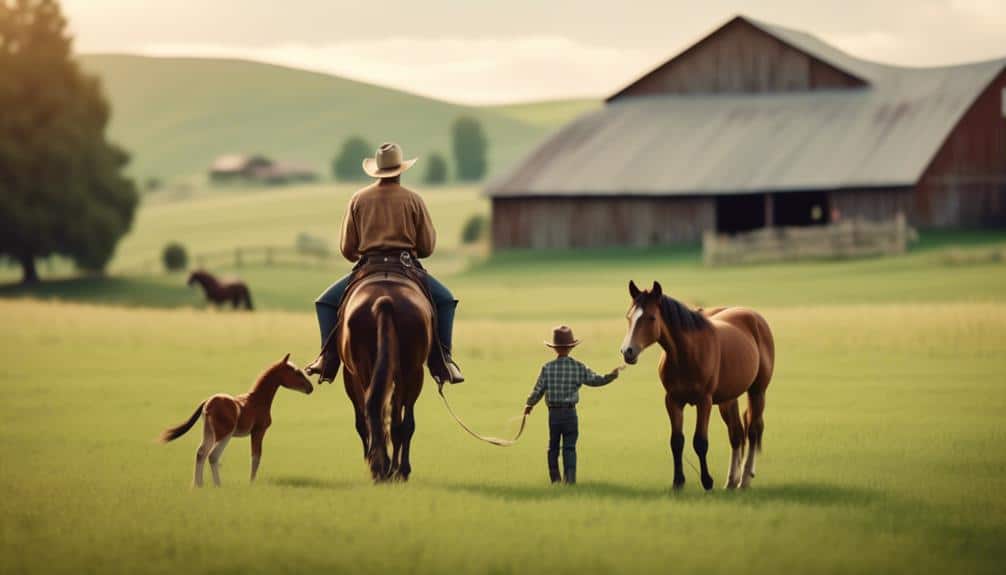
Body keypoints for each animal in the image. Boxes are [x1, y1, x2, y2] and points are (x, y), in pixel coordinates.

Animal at [158, 353, 314, 487]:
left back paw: (198, 485)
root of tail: (208, 403)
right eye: (297, 372)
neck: (257, 400)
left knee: (201, 453)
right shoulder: (258, 431)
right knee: (213, 455)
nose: (310, 388)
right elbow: (256, 457)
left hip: (209, 432)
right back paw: (218, 485)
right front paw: (251, 483)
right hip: (224, 434)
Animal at [338, 275, 432, 482]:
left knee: (383, 418)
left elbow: (363, 423)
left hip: (371, 372)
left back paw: (385, 468)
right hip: (411, 374)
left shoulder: (350, 377)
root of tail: (385, 301)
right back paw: (394, 469)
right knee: (400, 423)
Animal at [620, 281, 775, 490]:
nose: (627, 351)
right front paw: (678, 482)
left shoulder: (704, 402)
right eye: (629, 316)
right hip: (728, 400)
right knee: (736, 434)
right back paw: (731, 481)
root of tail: (755, 318)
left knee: (753, 430)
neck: (687, 353)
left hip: (757, 392)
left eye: (651, 318)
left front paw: (707, 481)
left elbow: (700, 442)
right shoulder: (673, 401)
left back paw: (744, 479)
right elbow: (677, 441)